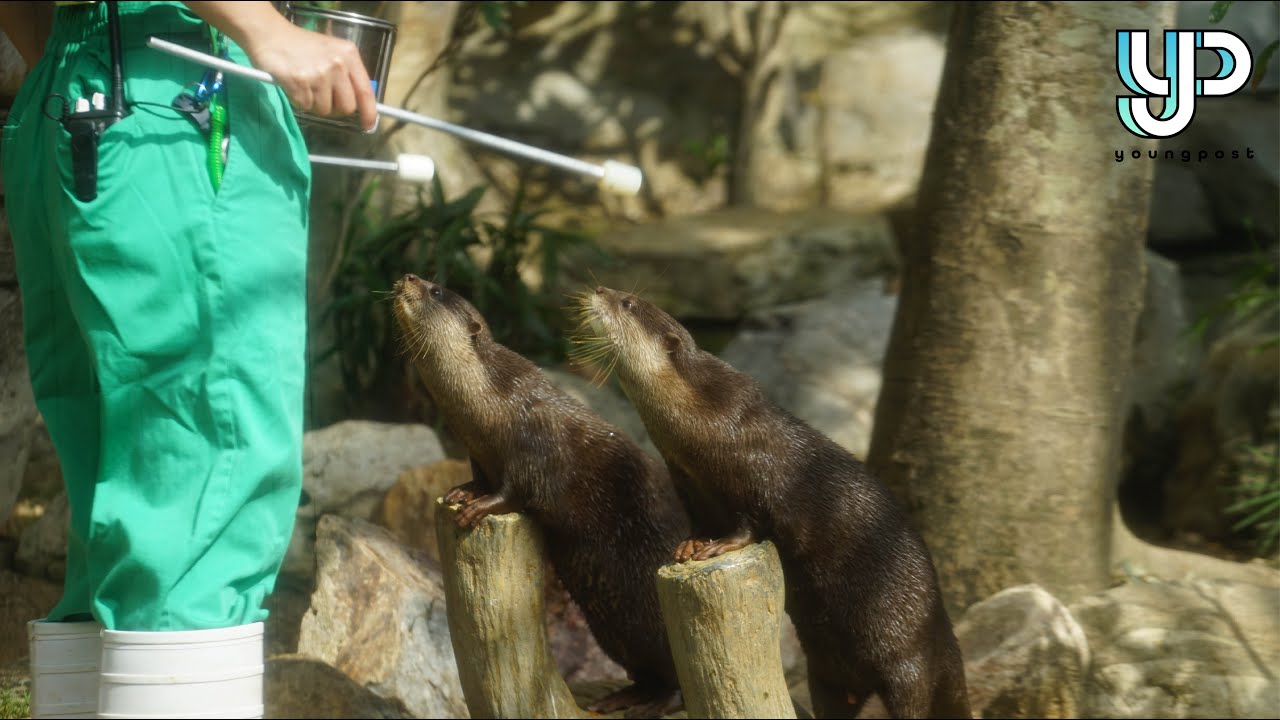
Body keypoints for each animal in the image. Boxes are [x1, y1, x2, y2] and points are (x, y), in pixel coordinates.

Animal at [393, 274, 689, 718]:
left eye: (437, 291)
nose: (409, 277)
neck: (494, 406)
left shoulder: (535, 445)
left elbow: (520, 490)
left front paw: (479, 507)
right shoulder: (478, 451)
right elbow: (482, 476)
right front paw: (462, 491)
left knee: (675, 677)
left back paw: (653, 704)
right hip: (613, 632)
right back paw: (622, 696)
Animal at [573, 286, 971, 720]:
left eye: (628, 302)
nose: (600, 289)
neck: (709, 423)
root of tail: (944, 631)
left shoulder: (757, 475)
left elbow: (752, 521)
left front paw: (717, 546)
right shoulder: (687, 482)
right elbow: (700, 520)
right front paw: (689, 545)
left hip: (908, 661)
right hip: (827, 674)